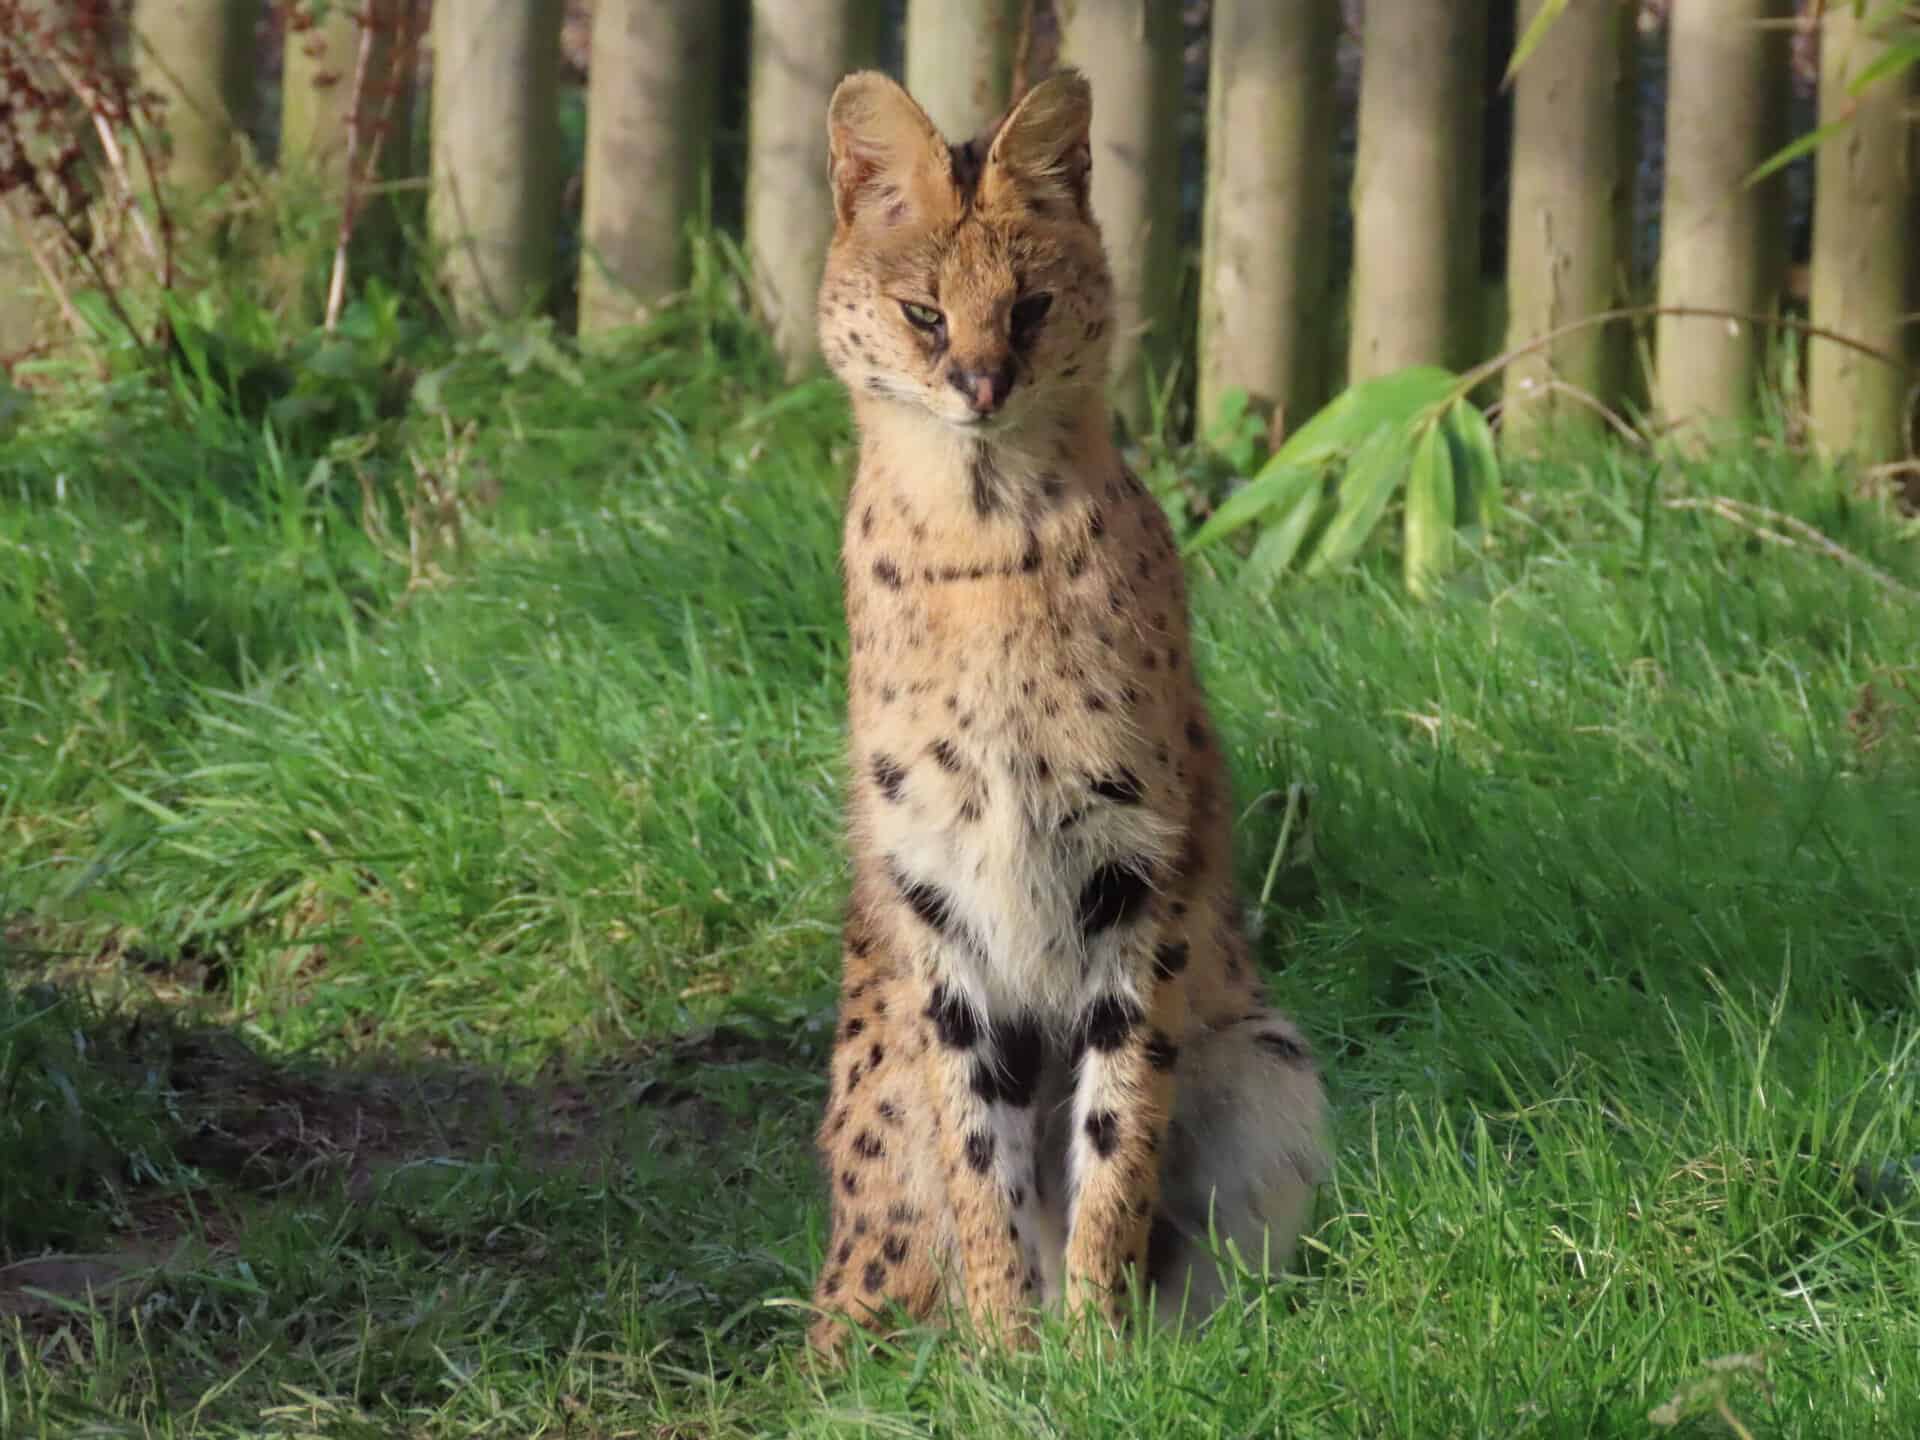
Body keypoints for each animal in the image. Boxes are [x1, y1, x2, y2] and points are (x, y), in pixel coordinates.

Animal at [806, 65, 1327, 1357]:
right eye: (925, 315)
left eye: (1032, 307)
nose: (980, 384)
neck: (982, 530)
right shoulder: (936, 888)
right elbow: (978, 1149)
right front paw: (1011, 1352)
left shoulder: (1136, 868)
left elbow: (1119, 1128)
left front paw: (1097, 1351)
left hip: (1272, 1061)